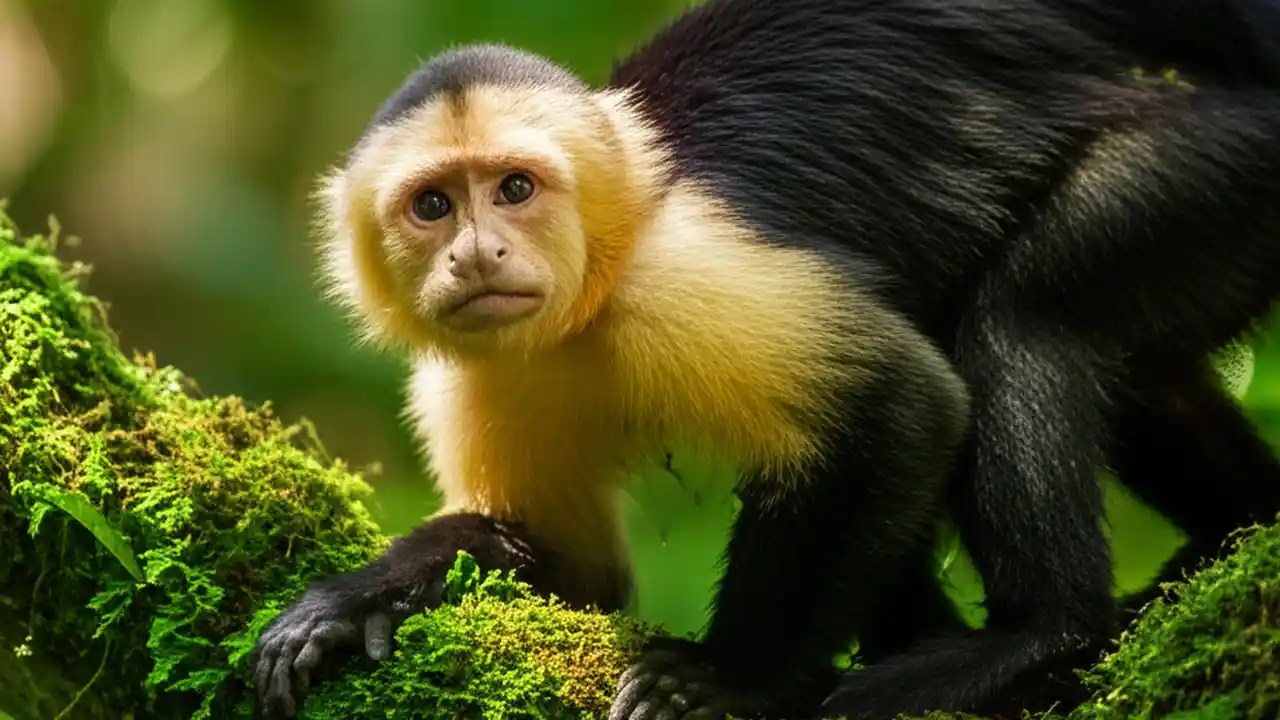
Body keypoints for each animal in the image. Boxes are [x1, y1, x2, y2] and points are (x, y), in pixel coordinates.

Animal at [250, 0, 1280, 718]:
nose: (479, 255)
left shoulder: (687, 269)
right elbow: (577, 581)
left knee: (1021, 322)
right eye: (432, 206)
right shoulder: (479, 378)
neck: (594, 294)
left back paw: (1041, 633)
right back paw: (1235, 526)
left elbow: (908, 403)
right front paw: (372, 593)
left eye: (514, 189)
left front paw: (734, 679)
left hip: (1226, 158)